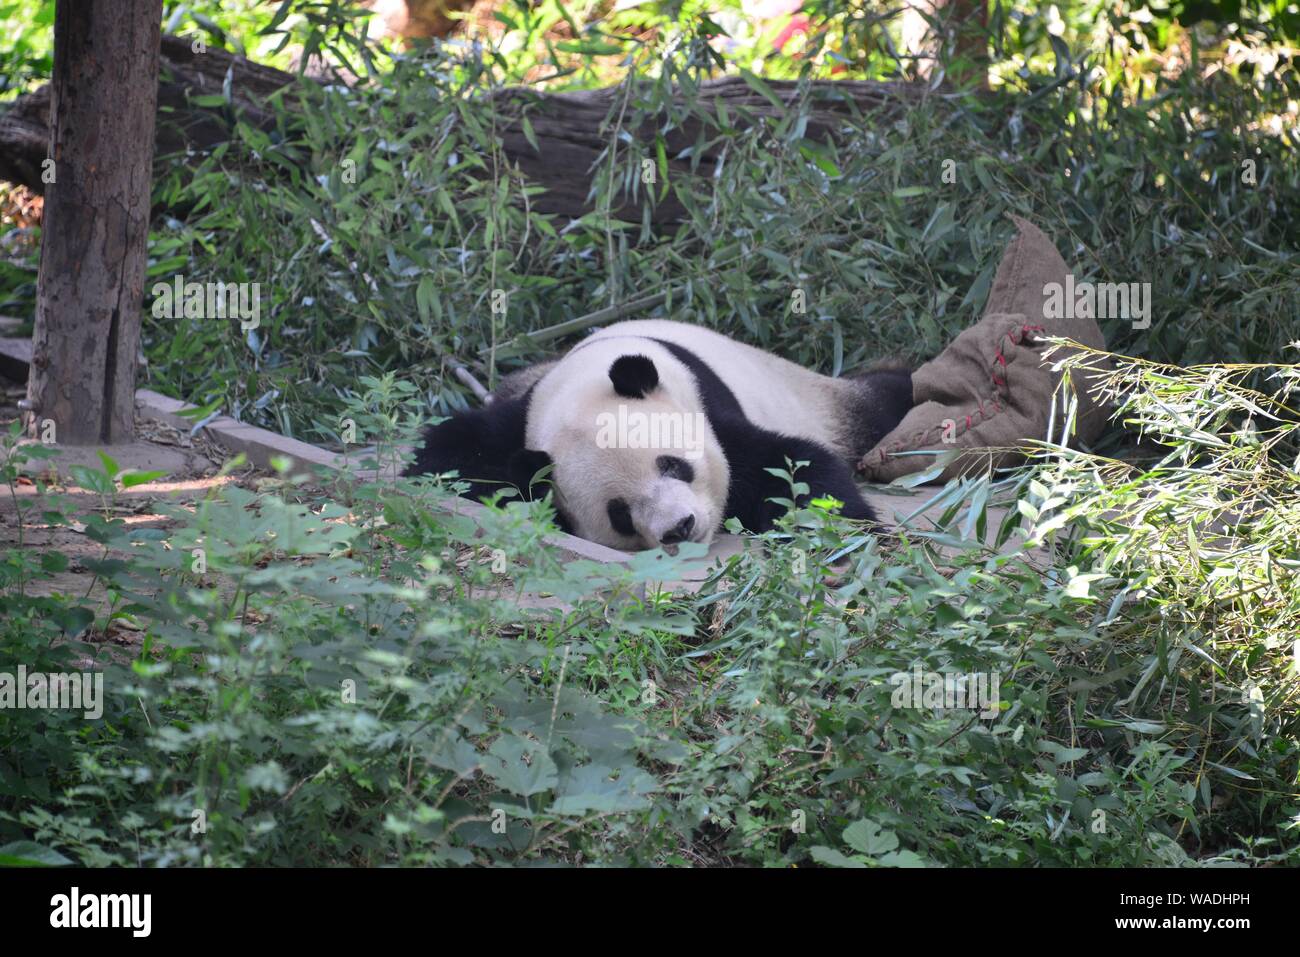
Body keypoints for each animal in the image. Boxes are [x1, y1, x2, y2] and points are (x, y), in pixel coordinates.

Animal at [409, 319, 912, 550]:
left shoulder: (704, 401)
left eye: (673, 465)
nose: (679, 527)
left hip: (823, 401)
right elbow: (449, 455)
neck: (579, 383)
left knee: (887, 401)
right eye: (619, 515)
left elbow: (789, 468)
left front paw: (844, 527)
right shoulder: (521, 416)